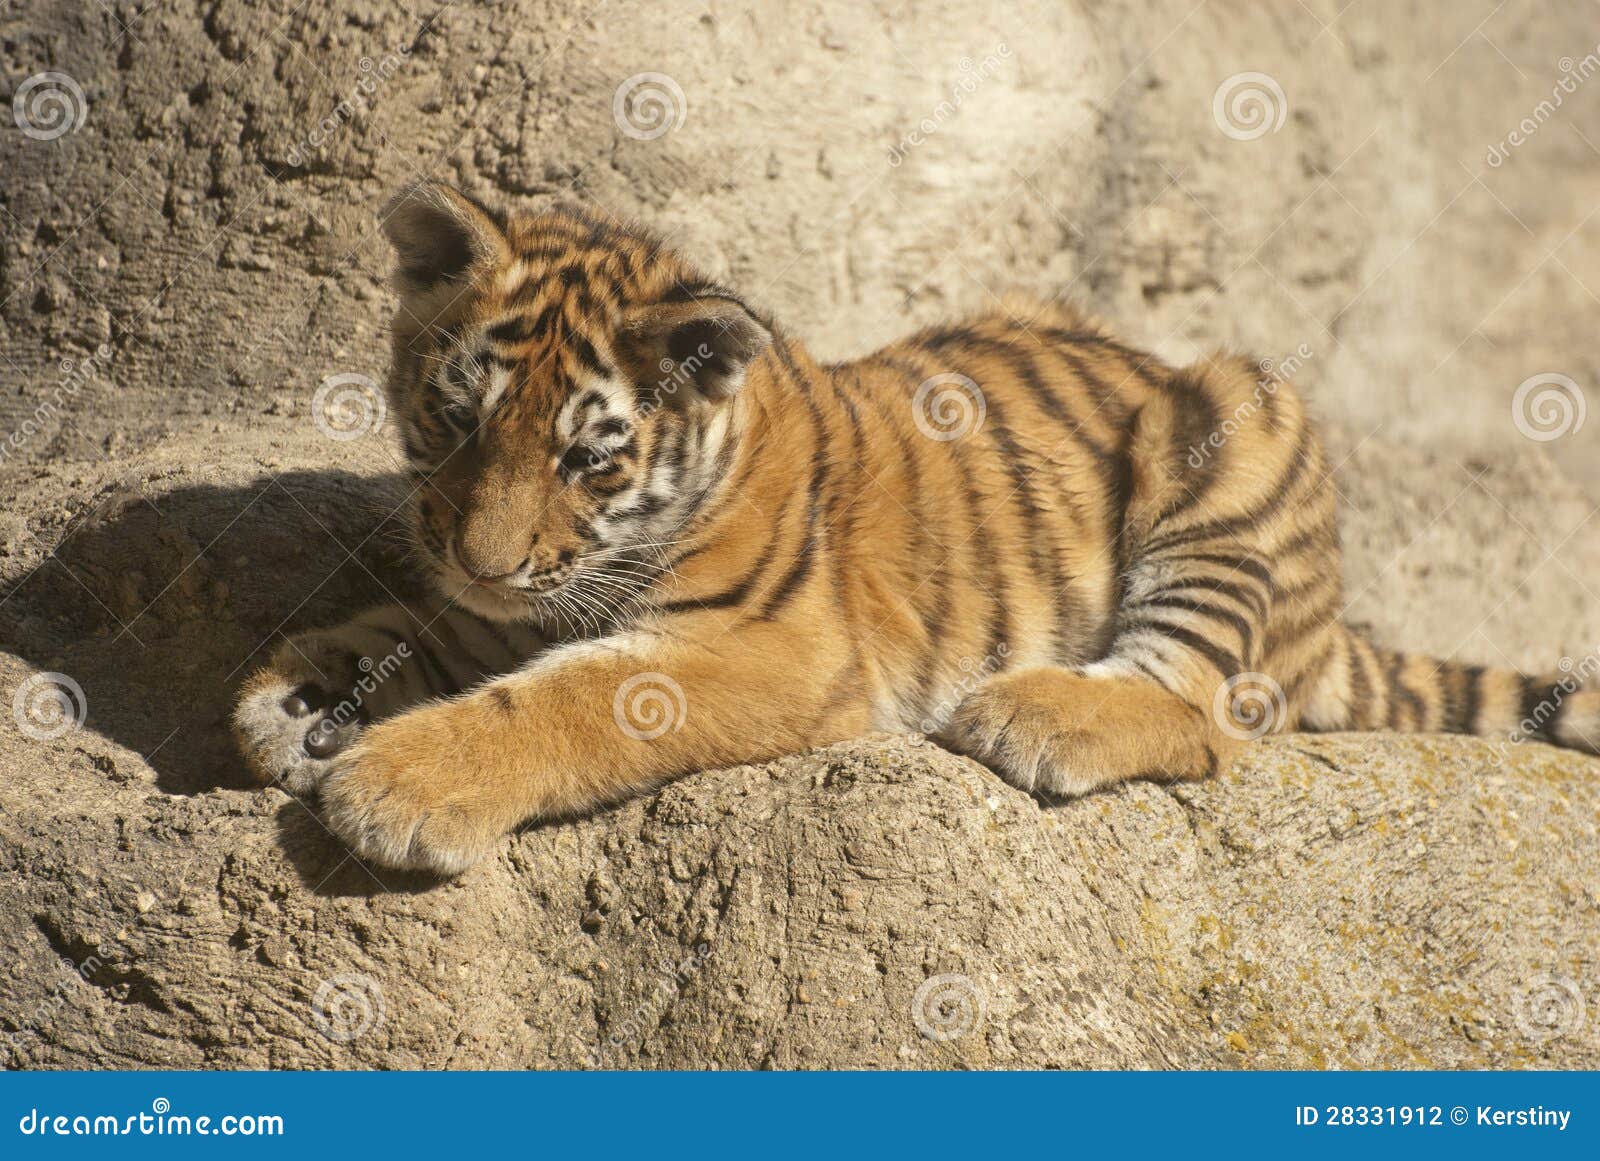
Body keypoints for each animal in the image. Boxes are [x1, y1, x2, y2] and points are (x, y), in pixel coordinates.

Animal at [233, 179, 1600, 876]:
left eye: (587, 455)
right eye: (455, 418)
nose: (481, 558)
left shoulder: (766, 652)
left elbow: (561, 699)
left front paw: (397, 783)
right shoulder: (504, 603)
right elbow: (434, 640)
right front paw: (304, 697)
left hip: (1233, 414)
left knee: (1206, 712)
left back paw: (1035, 714)